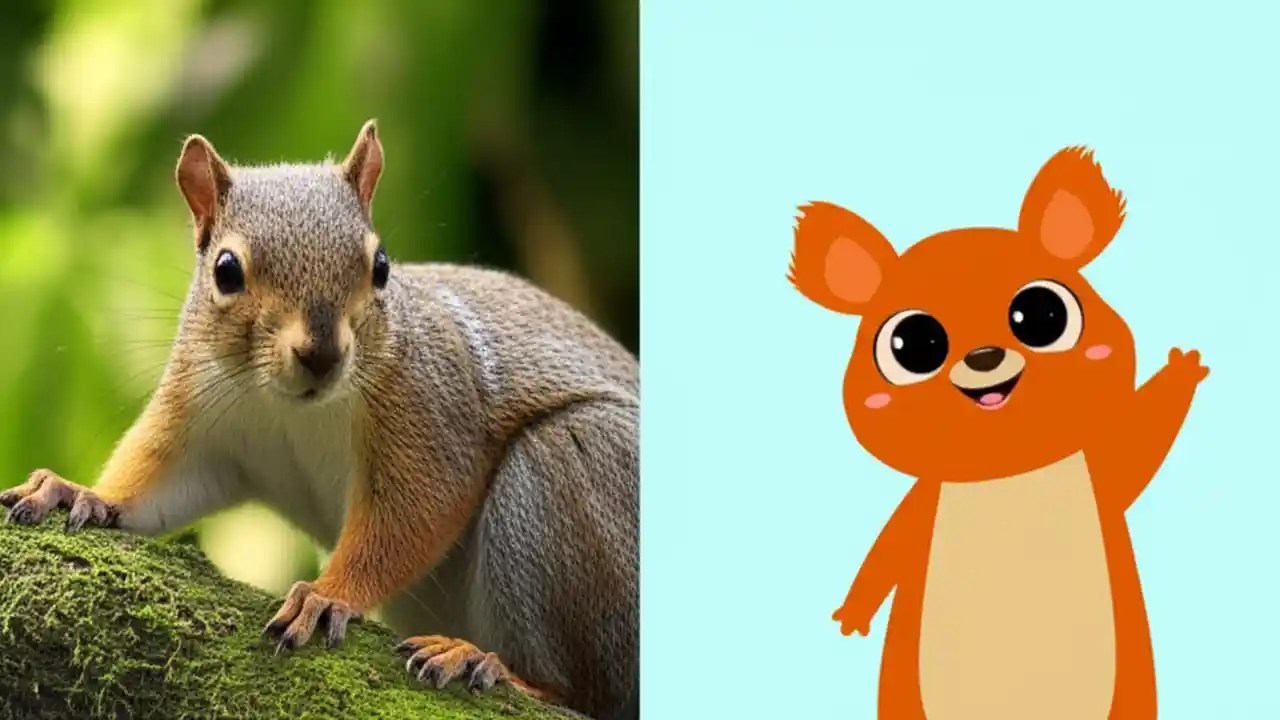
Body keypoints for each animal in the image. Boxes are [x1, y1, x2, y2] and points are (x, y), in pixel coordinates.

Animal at [0, 120, 639, 720]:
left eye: (381, 266)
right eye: (225, 270)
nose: (322, 353)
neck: (289, 408)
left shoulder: (431, 411)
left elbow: (410, 514)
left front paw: (328, 595)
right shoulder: (203, 422)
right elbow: (155, 485)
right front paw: (77, 492)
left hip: (568, 478)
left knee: (580, 689)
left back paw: (486, 664)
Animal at [788, 147, 1207, 720]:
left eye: (1043, 314)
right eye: (914, 343)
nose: (984, 357)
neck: (1009, 472)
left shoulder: (1101, 471)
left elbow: (1141, 440)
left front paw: (1184, 368)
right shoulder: (924, 503)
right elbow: (890, 544)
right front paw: (852, 615)